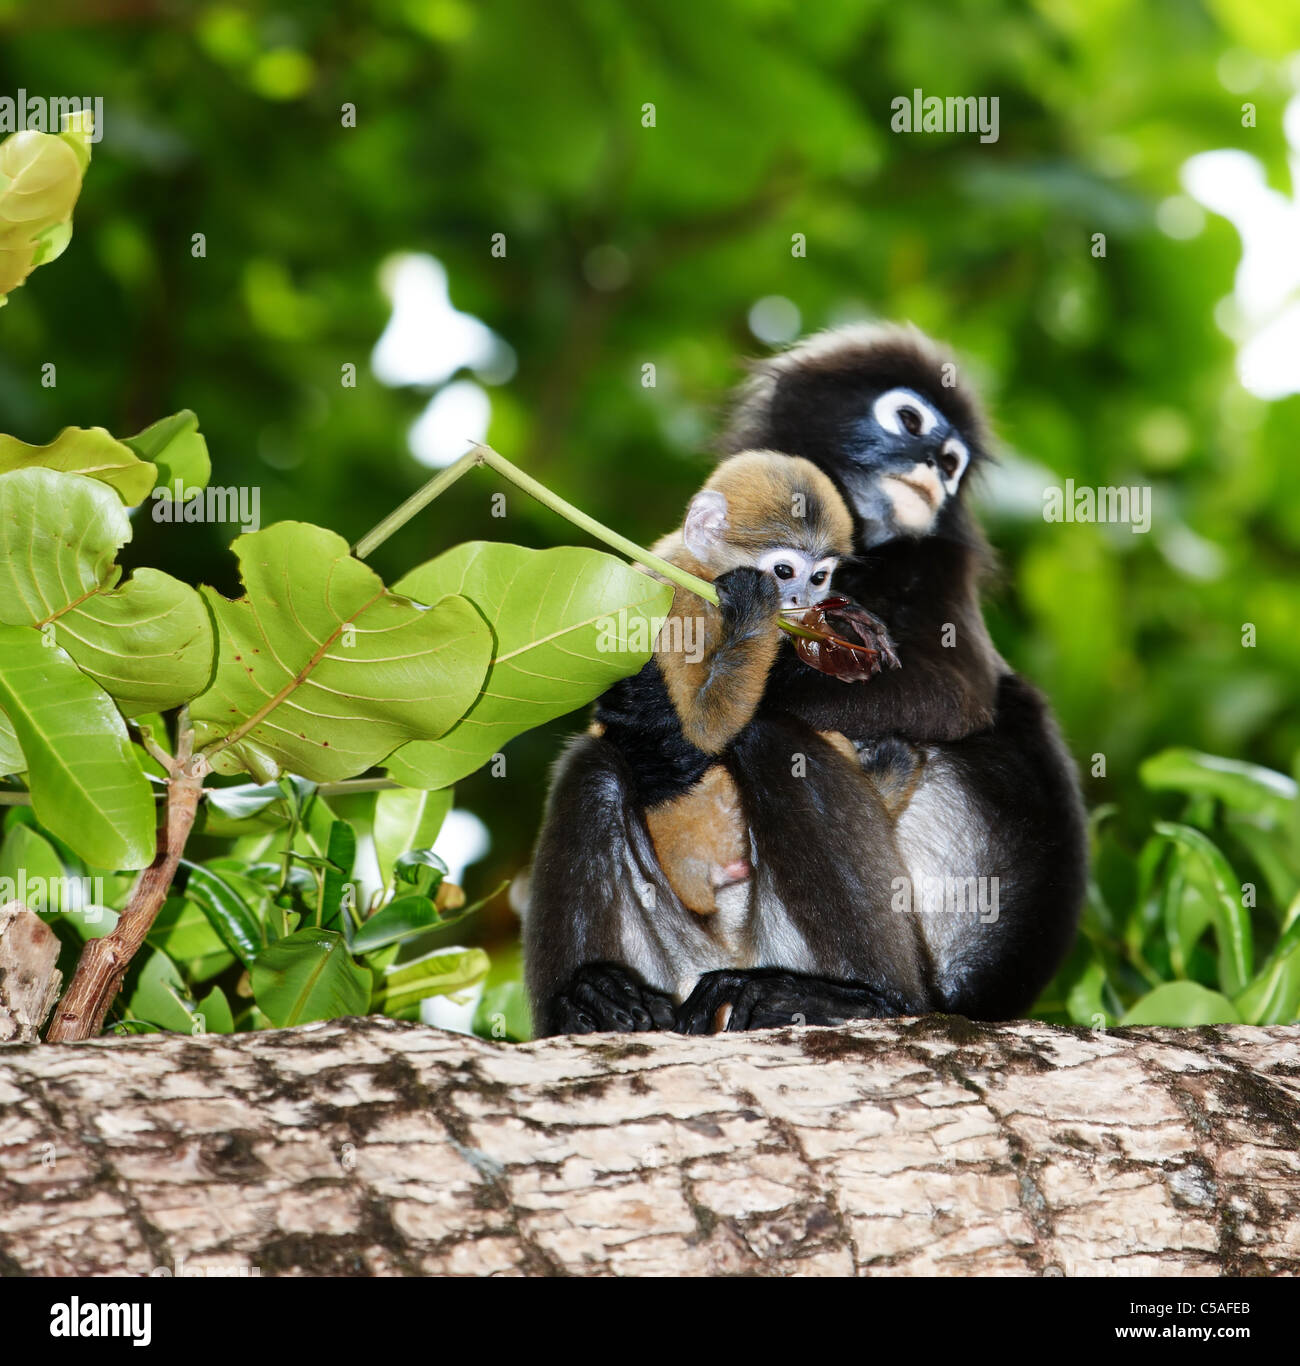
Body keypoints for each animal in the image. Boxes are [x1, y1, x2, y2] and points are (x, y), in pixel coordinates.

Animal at [524, 323, 1086, 1037]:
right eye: (910, 421)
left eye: (955, 462)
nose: (936, 466)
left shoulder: (941, 567)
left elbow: (946, 695)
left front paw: (664, 725)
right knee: (593, 770)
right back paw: (593, 1002)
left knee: (772, 738)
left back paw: (856, 998)